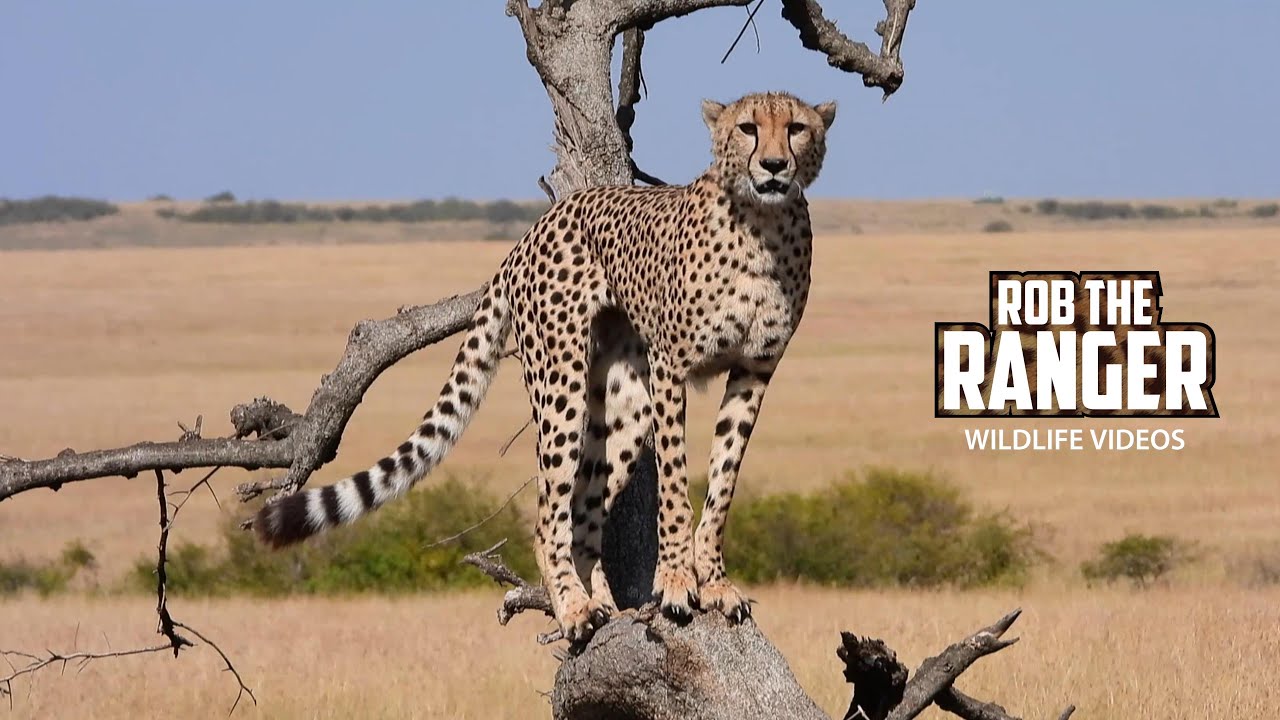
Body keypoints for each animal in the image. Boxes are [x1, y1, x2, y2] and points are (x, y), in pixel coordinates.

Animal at [253, 91, 837, 642]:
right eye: (748, 128)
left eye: (796, 128)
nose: (774, 166)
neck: (761, 224)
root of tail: (530, 232)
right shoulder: (671, 365)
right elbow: (674, 485)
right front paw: (675, 583)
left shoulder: (753, 372)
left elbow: (722, 484)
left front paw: (715, 583)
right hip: (562, 381)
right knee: (548, 517)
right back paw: (574, 609)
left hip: (626, 403)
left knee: (583, 513)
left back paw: (602, 604)